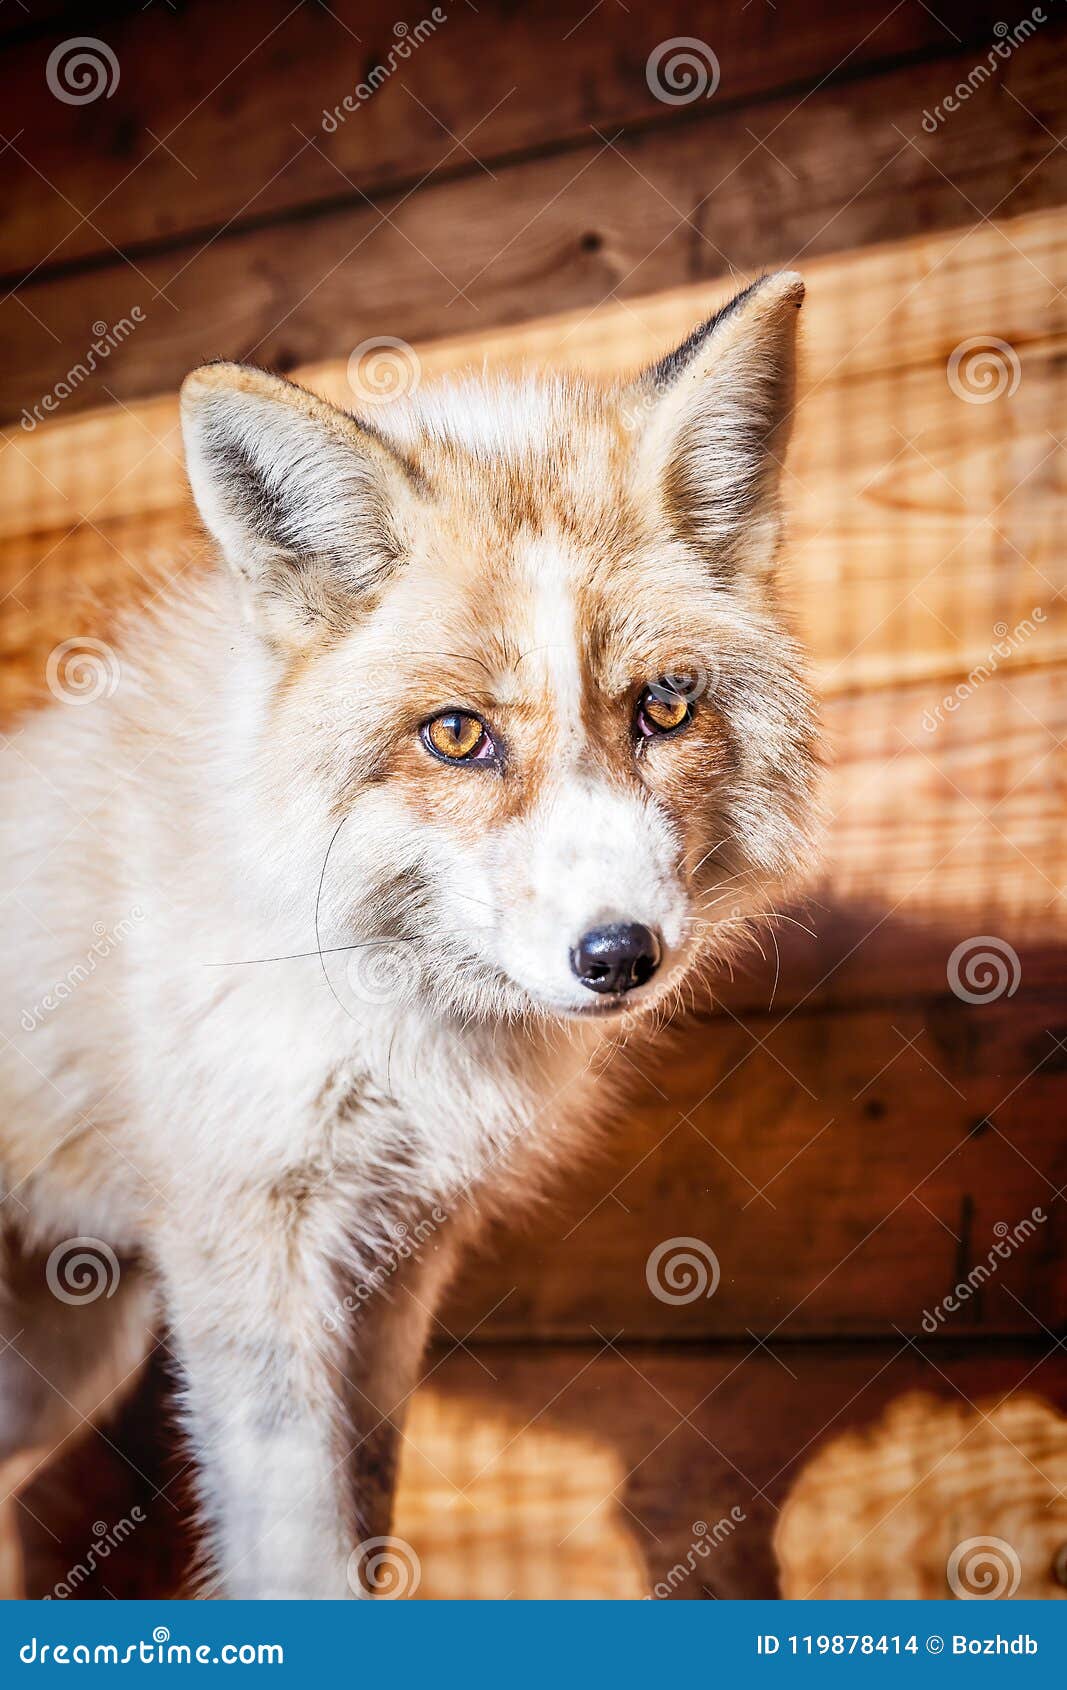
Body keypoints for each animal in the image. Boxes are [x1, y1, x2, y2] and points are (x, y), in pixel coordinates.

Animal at [0, 270, 819, 1599]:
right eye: (454, 734)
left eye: (662, 706)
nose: (618, 956)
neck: (389, 1006)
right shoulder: (252, 1237)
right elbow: (298, 1555)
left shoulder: (393, 1261)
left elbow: (369, 1518)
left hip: (66, 1355)